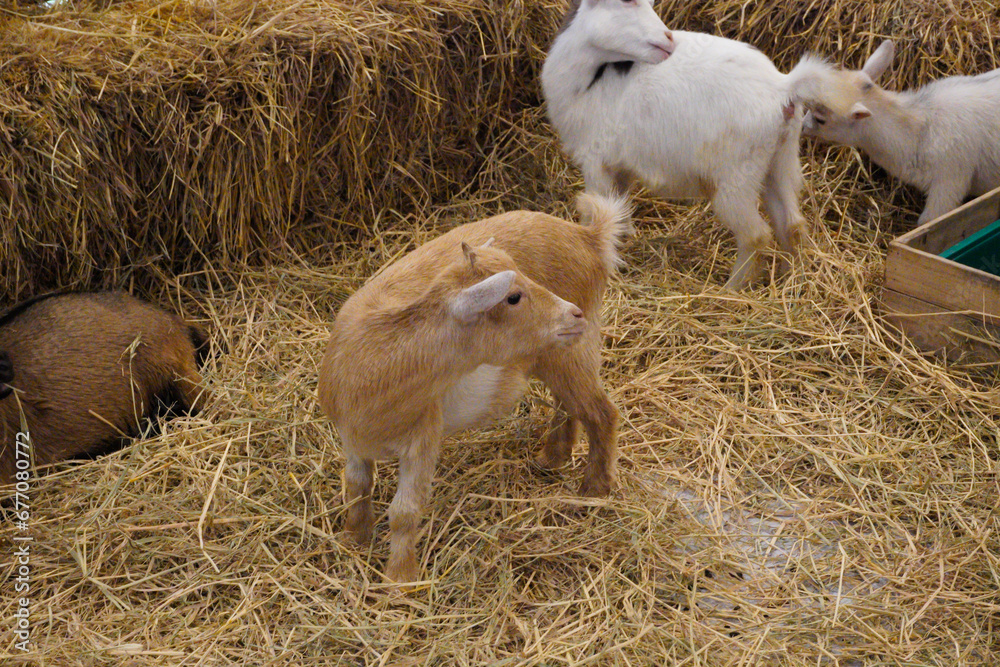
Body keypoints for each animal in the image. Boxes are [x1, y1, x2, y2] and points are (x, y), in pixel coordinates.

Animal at [317, 194, 630, 582]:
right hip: (556, 352)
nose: (571, 313)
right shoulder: (352, 438)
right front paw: (354, 539)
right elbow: (356, 486)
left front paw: (400, 579)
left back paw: (592, 491)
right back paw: (553, 457)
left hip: (574, 347)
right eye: (513, 297)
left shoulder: (424, 437)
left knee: (601, 413)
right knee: (570, 403)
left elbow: (405, 512)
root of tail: (588, 236)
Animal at [541, 0, 808, 289]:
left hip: (736, 179)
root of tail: (782, 89)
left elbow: (594, 215)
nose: (668, 39)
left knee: (756, 235)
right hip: (779, 161)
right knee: (791, 224)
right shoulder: (620, 168)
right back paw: (789, 279)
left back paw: (729, 289)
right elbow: (619, 211)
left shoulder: (594, 162)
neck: (591, 82)